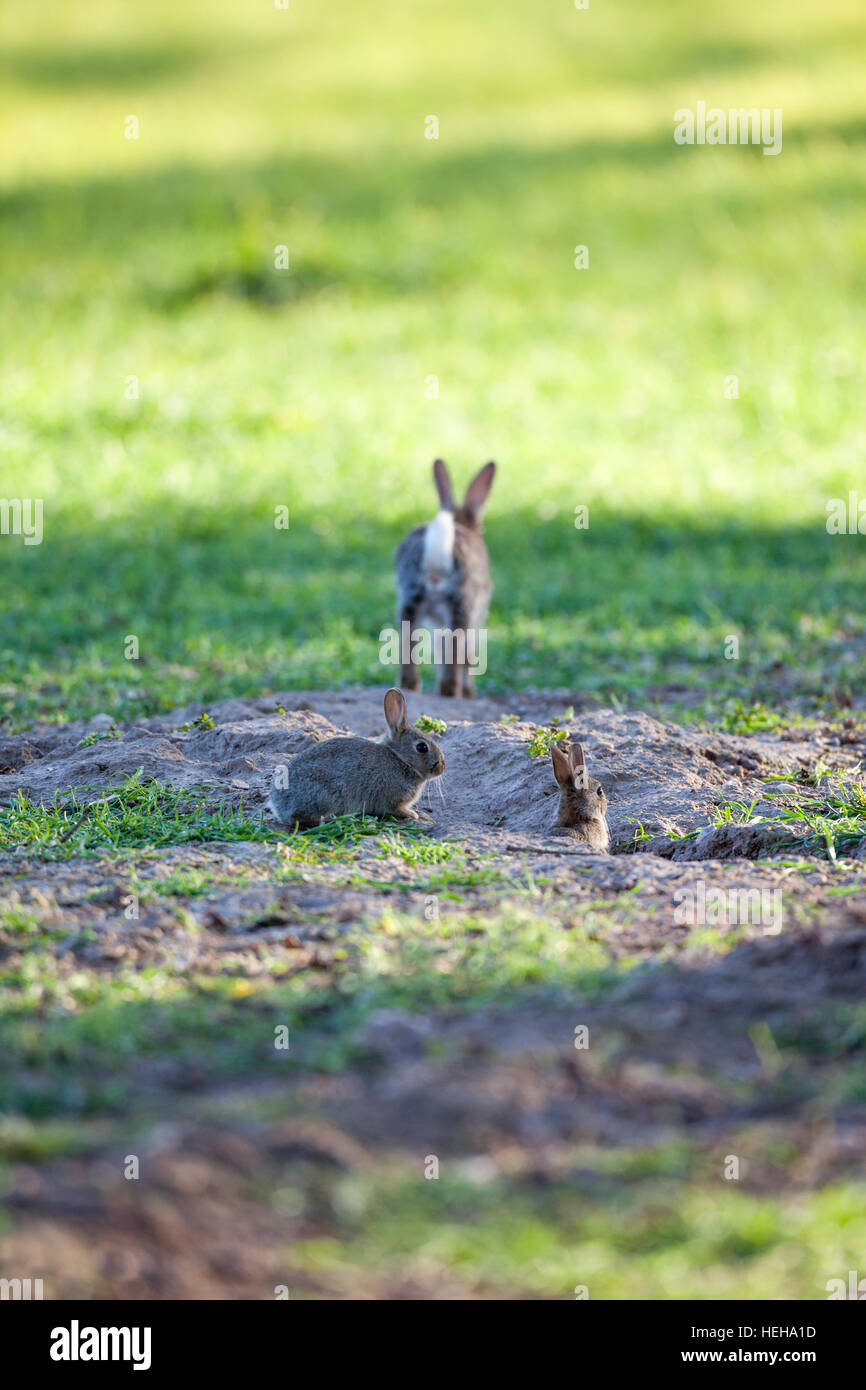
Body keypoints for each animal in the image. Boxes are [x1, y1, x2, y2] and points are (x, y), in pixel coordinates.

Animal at [267, 688, 445, 829]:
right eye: (422, 747)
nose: (441, 767)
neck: (401, 759)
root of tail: (278, 804)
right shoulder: (392, 798)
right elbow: (395, 809)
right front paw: (412, 814)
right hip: (324, 796)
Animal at [394, 458, 496, 697]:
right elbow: (468, 658)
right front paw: (470, 692)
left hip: (410, 602)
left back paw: (411, 687)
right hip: (461, 606)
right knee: (457, 659)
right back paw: (455, 693)